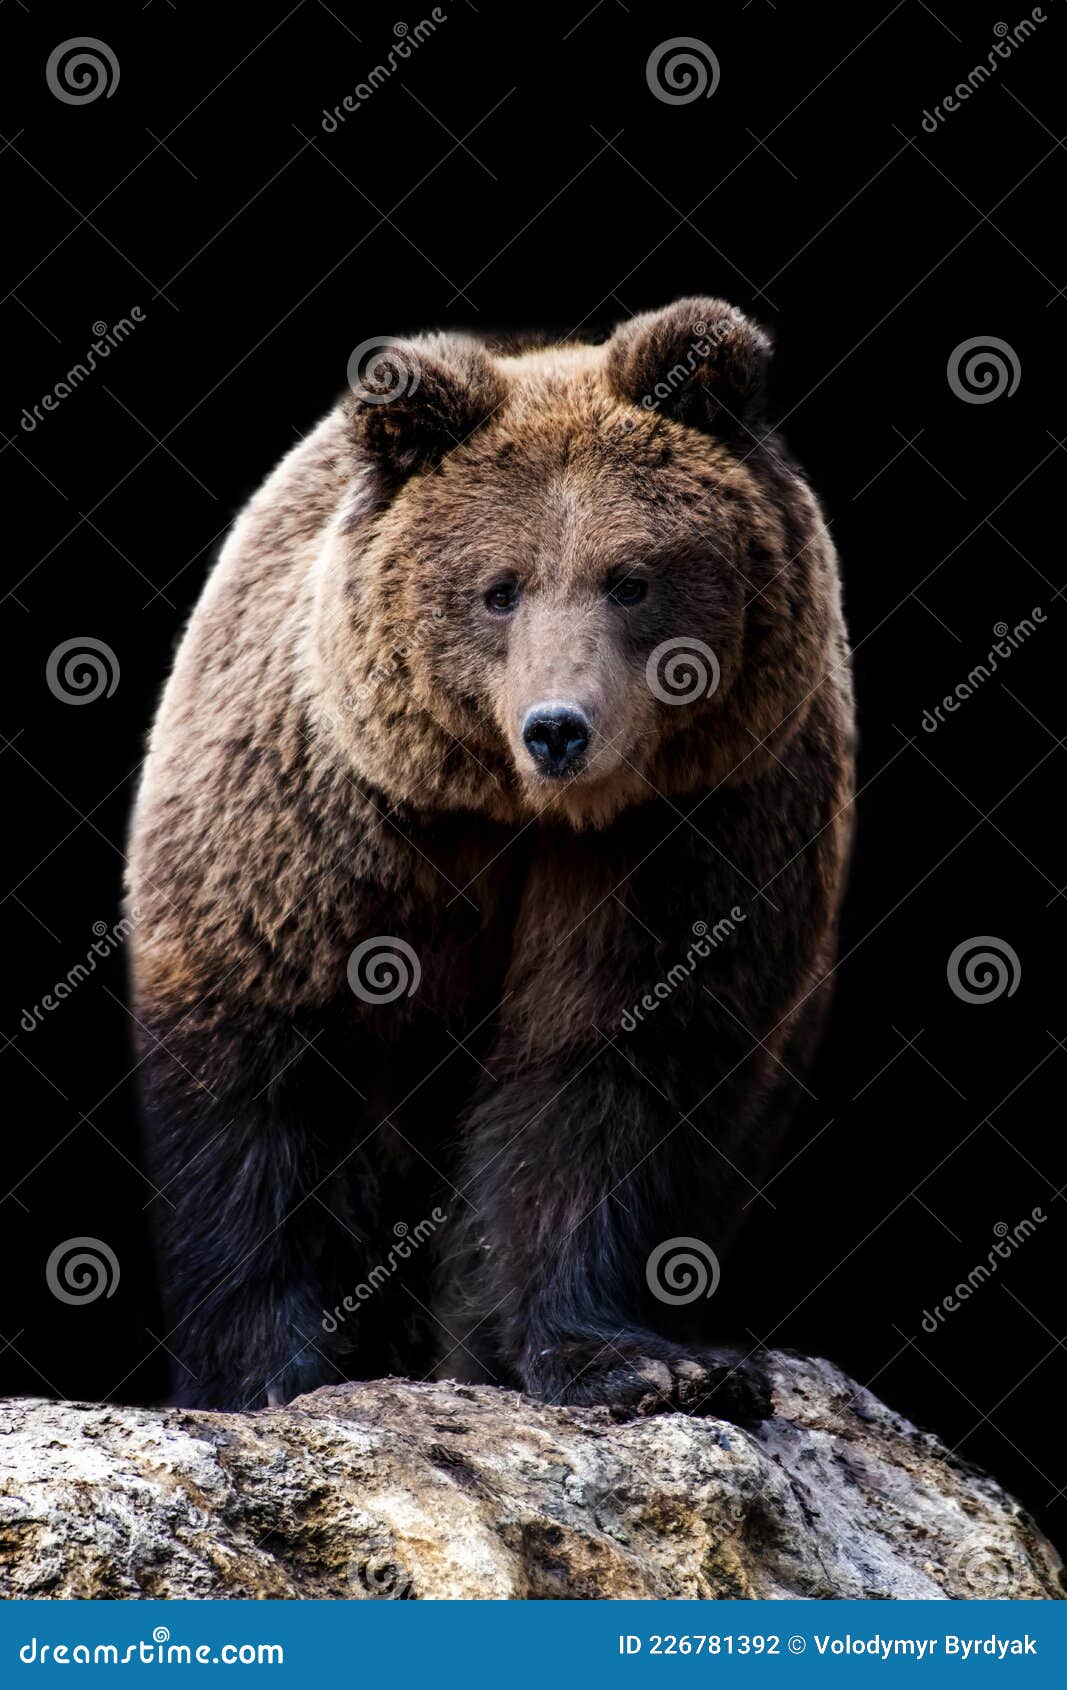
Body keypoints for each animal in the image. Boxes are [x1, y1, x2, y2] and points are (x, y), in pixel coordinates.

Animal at [126, 298, 854, 1419]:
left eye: (629, 579)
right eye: (498, 589)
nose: (559, 727)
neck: (515, 815)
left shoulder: (680, 840)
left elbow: (599, 1078)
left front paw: (644, 1363)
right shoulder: (320, 835)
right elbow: (262, 1095)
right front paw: (264, 1375)